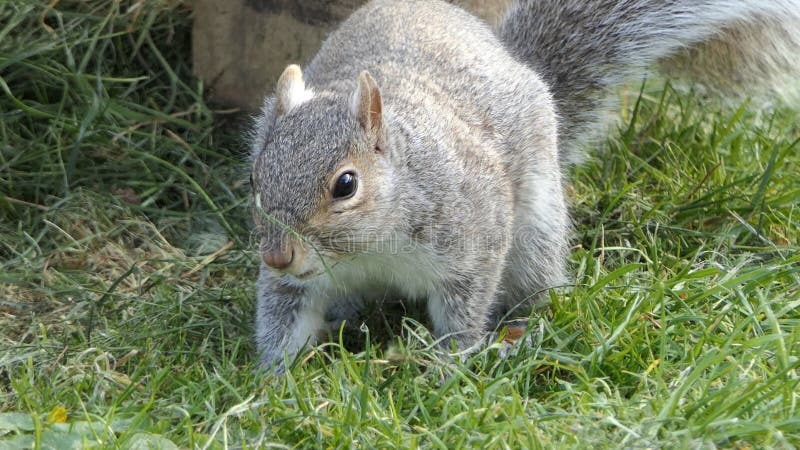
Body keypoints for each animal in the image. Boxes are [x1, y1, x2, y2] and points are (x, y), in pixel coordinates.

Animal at [248, 0, 800, 370]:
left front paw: (448, 364)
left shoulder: (472, 237)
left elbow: (464, 307)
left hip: (534, 233)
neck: (367, 249)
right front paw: (273, 384)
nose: (278, 255)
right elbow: (285, 316)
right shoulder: (295, 284)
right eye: (255, 177)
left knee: (535, 286)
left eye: (346, 184)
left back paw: (523, 331)